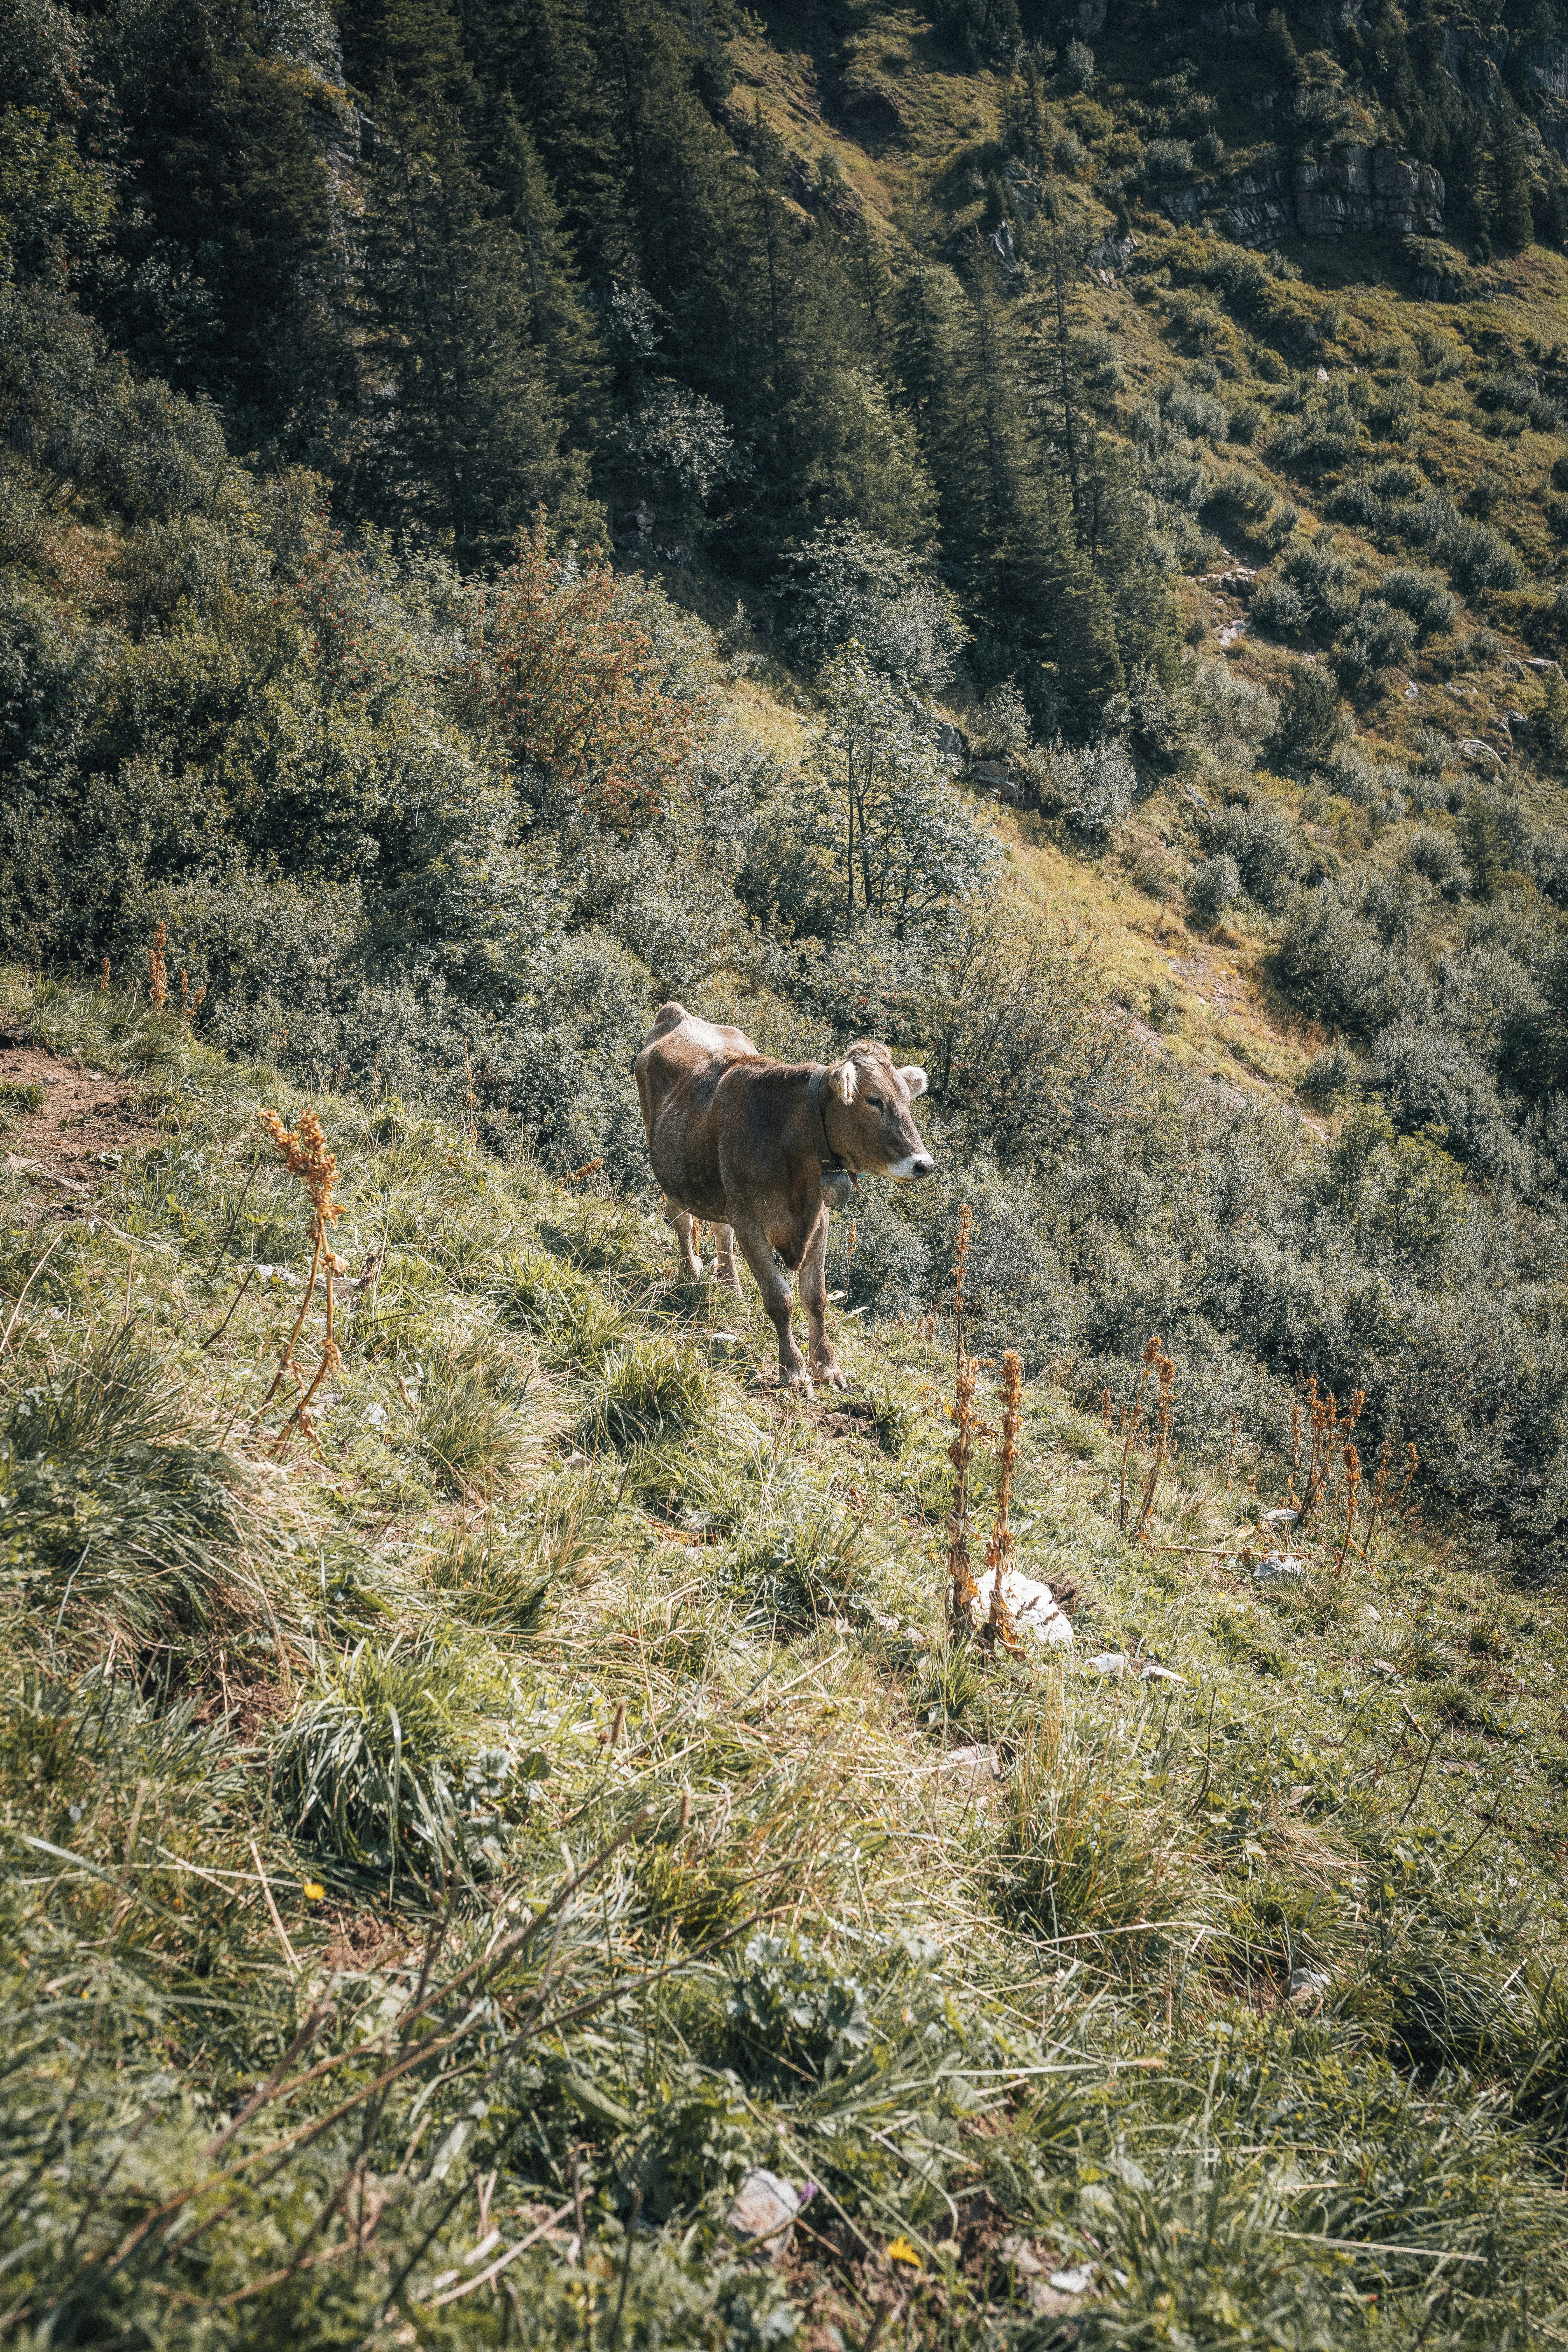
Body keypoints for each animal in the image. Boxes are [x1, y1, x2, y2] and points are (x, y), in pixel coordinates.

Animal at [634, 1002, 935, 1392]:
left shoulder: (819, 1219)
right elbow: (780, 1298)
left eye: (906, 1102)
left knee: (721, 1232)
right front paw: (793, 1369)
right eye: (874, 1100)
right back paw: (690, 1270)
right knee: (683, 1221)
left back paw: (731, 1289)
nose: (923, 1164)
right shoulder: (749, 1220)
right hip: (672, 1173)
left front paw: (827, 1365)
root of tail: (678, 1014)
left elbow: (815, 1297)